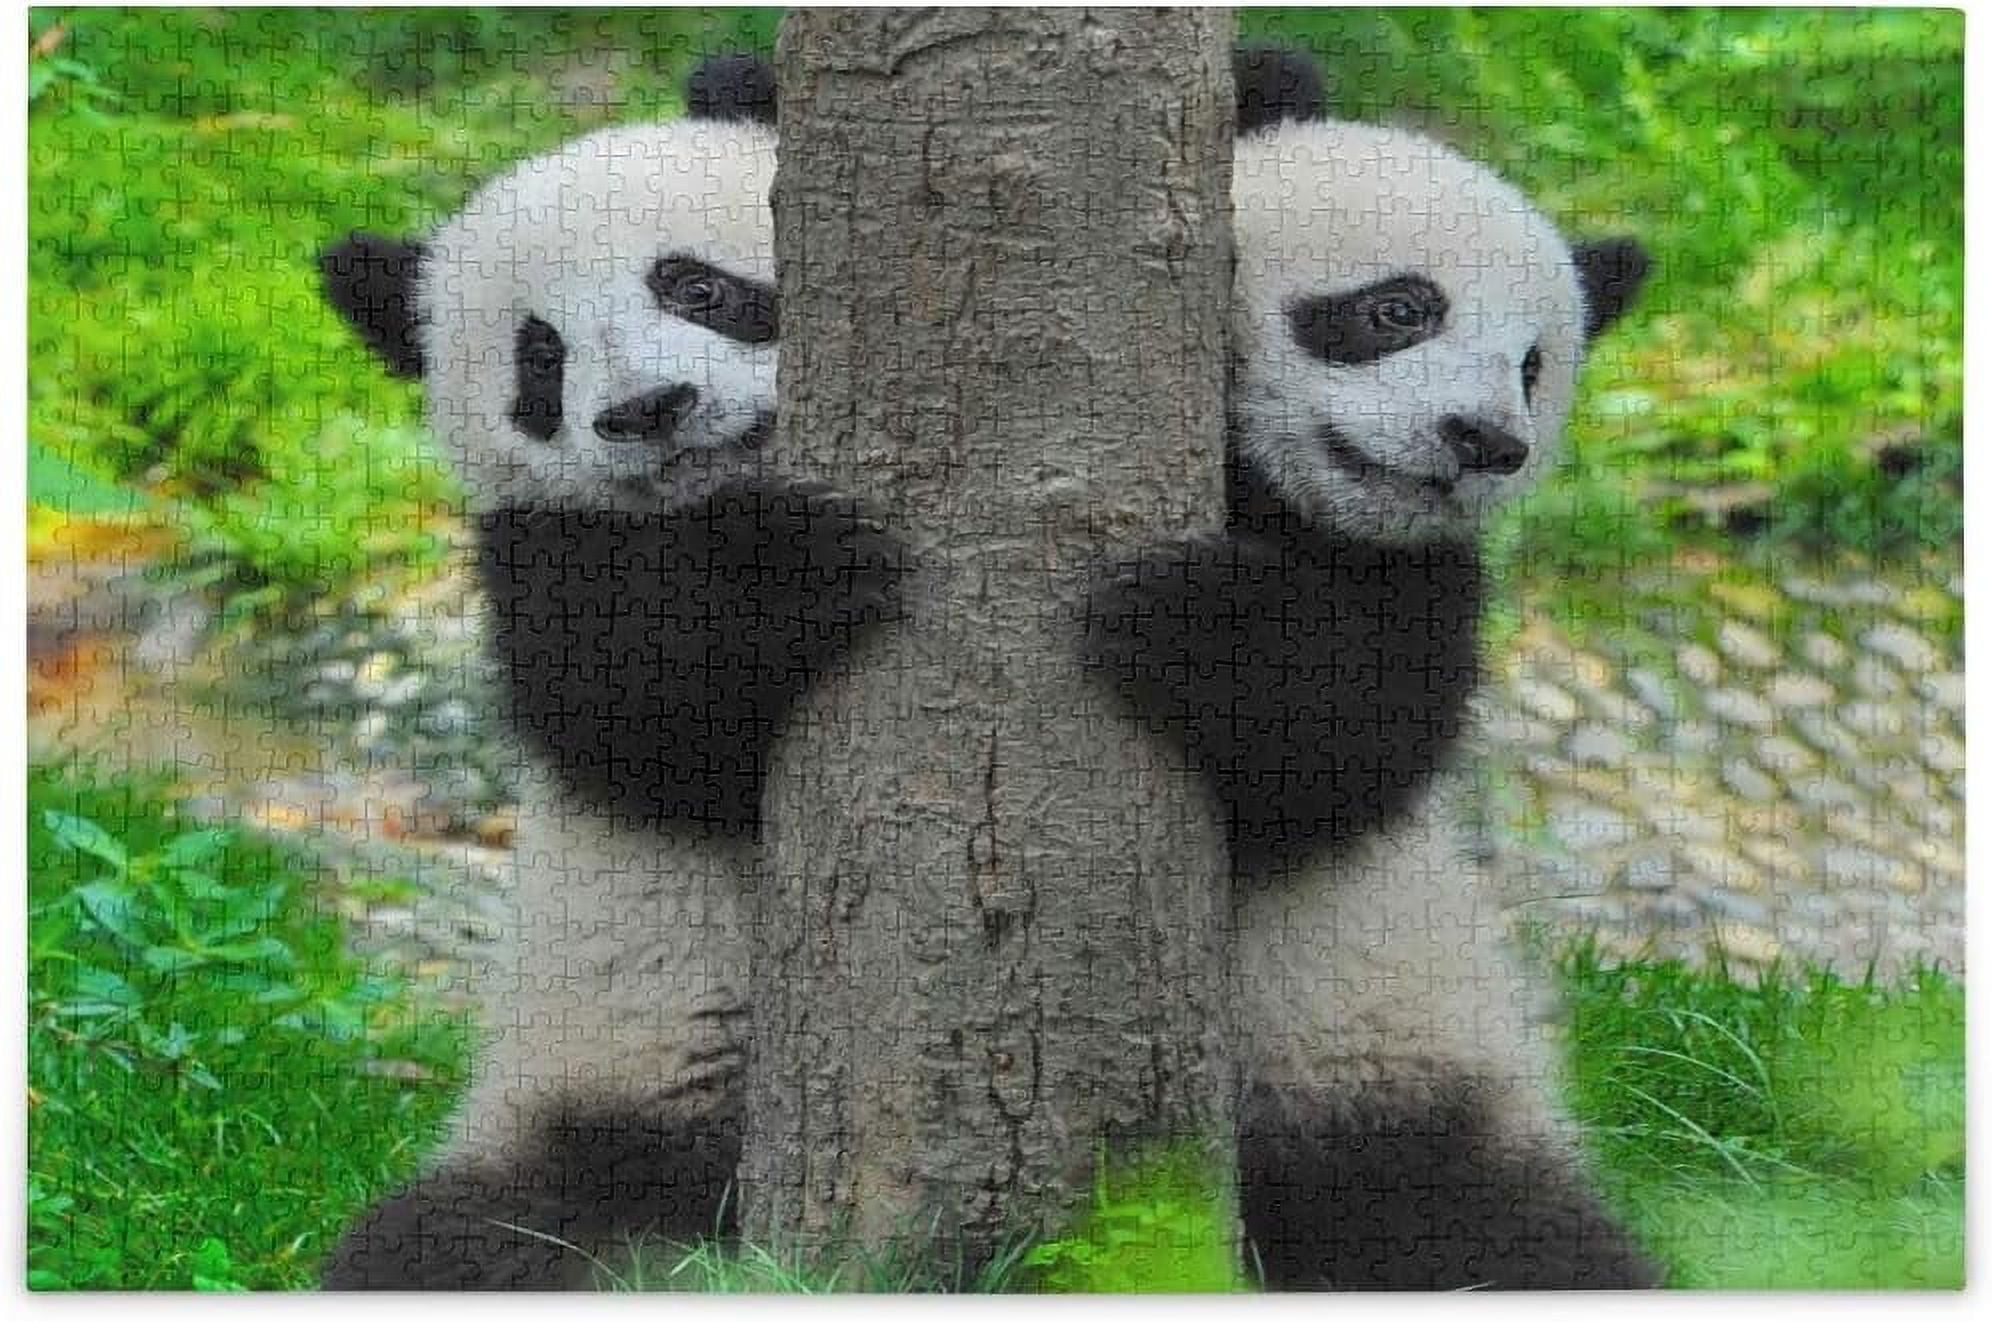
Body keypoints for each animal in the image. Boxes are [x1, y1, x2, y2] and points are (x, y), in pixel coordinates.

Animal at [316, 62, 899, 1289]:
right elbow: (646, 722)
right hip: (584, 1103)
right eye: (541, 360)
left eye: (695, 285)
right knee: (454, 1241)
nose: (648, 412)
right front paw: (785, 571)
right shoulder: (535, 555)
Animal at [1084, 50, 1658, 1288]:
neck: (1293, 505)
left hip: (1403, 1067)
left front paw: (1196, 618)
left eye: (1532, 367)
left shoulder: (1429, 584)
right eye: (1399, 308)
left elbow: (1350, 749)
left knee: (1496, 1230)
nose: (1484, 441)